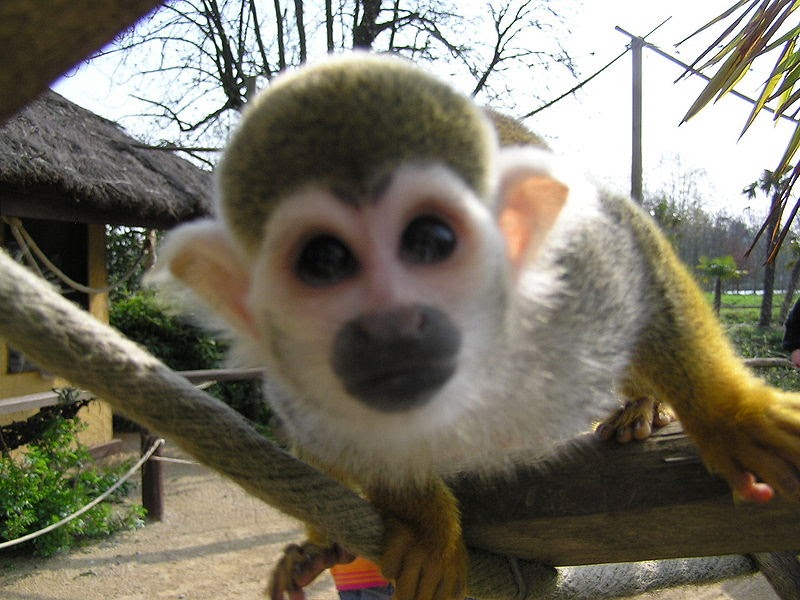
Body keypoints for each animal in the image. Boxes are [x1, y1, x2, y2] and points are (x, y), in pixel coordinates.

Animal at [153, 53, 800, 600]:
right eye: (324, 264)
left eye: (431, 242)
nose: (395, 323)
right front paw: (427, 526)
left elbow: (628, 255)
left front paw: (729, 417)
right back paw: (324, 548)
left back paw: (642, 402)